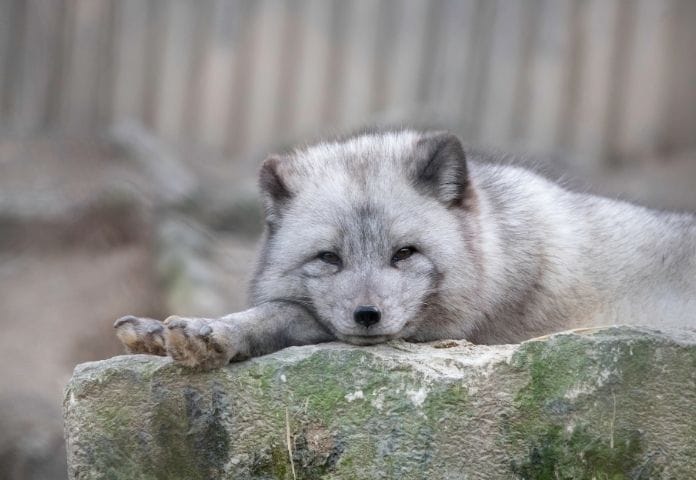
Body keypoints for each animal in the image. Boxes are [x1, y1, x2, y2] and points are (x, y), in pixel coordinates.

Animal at [115, 130, 696, 370]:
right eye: (329, 258)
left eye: (405, 253)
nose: (367, 316)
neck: (501, 246)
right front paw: (157, 332)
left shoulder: (457, 333)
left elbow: (284, 313)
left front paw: (216, 333)